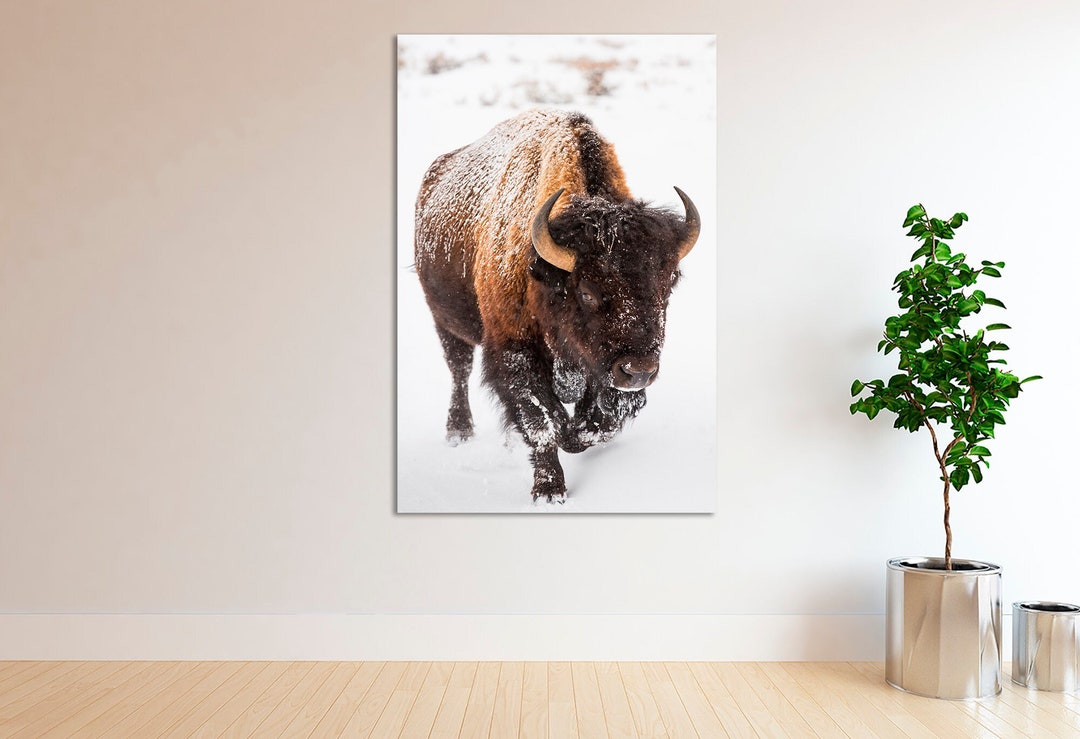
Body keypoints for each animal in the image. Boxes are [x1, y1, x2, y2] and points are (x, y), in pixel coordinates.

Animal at [414, 109, 700, 502]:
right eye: (587, 292)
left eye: (668, 284)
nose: (639, 371)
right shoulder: (515, 351)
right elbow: (543, 423)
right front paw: (549, 490)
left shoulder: (601, 369)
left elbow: (599, 423)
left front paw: (577, 434)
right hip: (445, 321)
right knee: (459, 369)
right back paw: (459, 432)